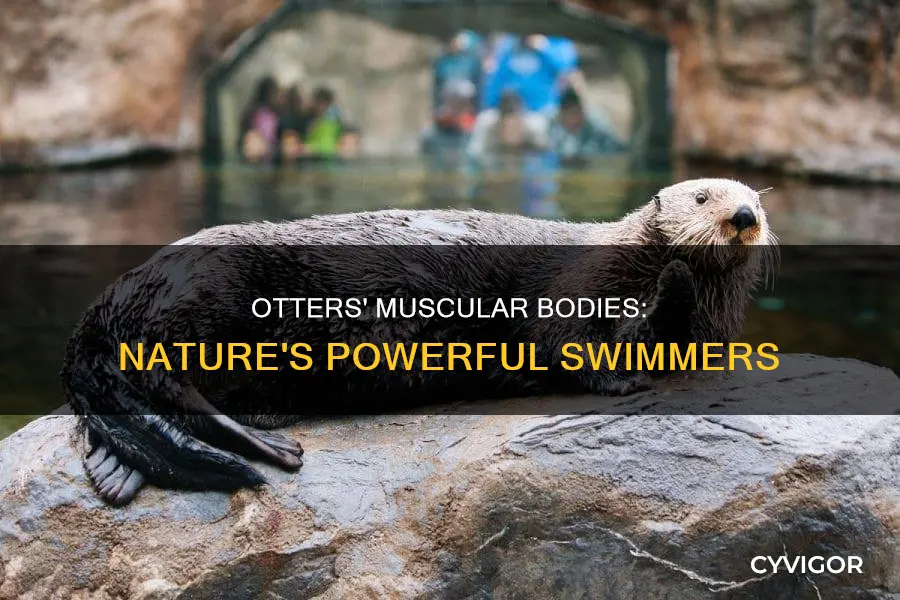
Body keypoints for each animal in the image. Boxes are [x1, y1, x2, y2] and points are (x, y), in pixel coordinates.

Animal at [61, 178, 776, 505]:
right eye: (703, 196)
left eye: (757, 201)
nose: (743, 216)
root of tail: (122, 291)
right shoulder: (580, 285)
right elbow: (567, 340)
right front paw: (632, 361)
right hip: (207, 295)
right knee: (161, 380)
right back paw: (271, 449)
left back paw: (117, 473)